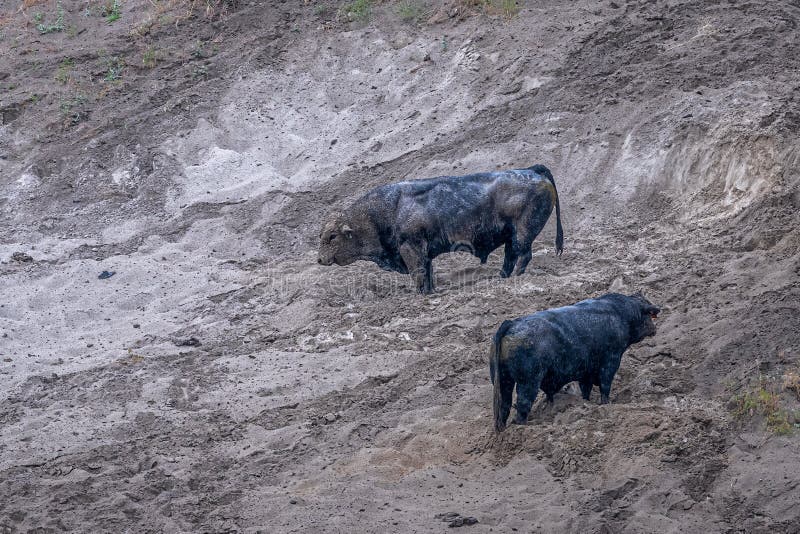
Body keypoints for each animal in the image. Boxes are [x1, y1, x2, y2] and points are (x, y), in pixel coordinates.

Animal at [318, 164, 563, 294]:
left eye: (332, 236)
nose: (320, 259)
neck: (387, 209)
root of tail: (534, 171)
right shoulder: (423, 252)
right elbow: (428, 273)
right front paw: (430, 291)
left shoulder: (411, 248)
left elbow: (419, 273)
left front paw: (418, 294)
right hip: (512, 237)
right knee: (510, 257)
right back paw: (500, 278)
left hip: (522, 234)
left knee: (523, 255)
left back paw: (513, 278)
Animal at [489, 293, 660, 432]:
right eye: (649, 314)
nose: (654, 329)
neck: (620, 313)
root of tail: (511, 323)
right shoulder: (611, 360)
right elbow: (605, 386)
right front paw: (606, 404)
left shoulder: (586, 372)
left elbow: (586, 390)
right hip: (529, 382)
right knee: (522, 405)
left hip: (504, 382)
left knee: (505, 407)